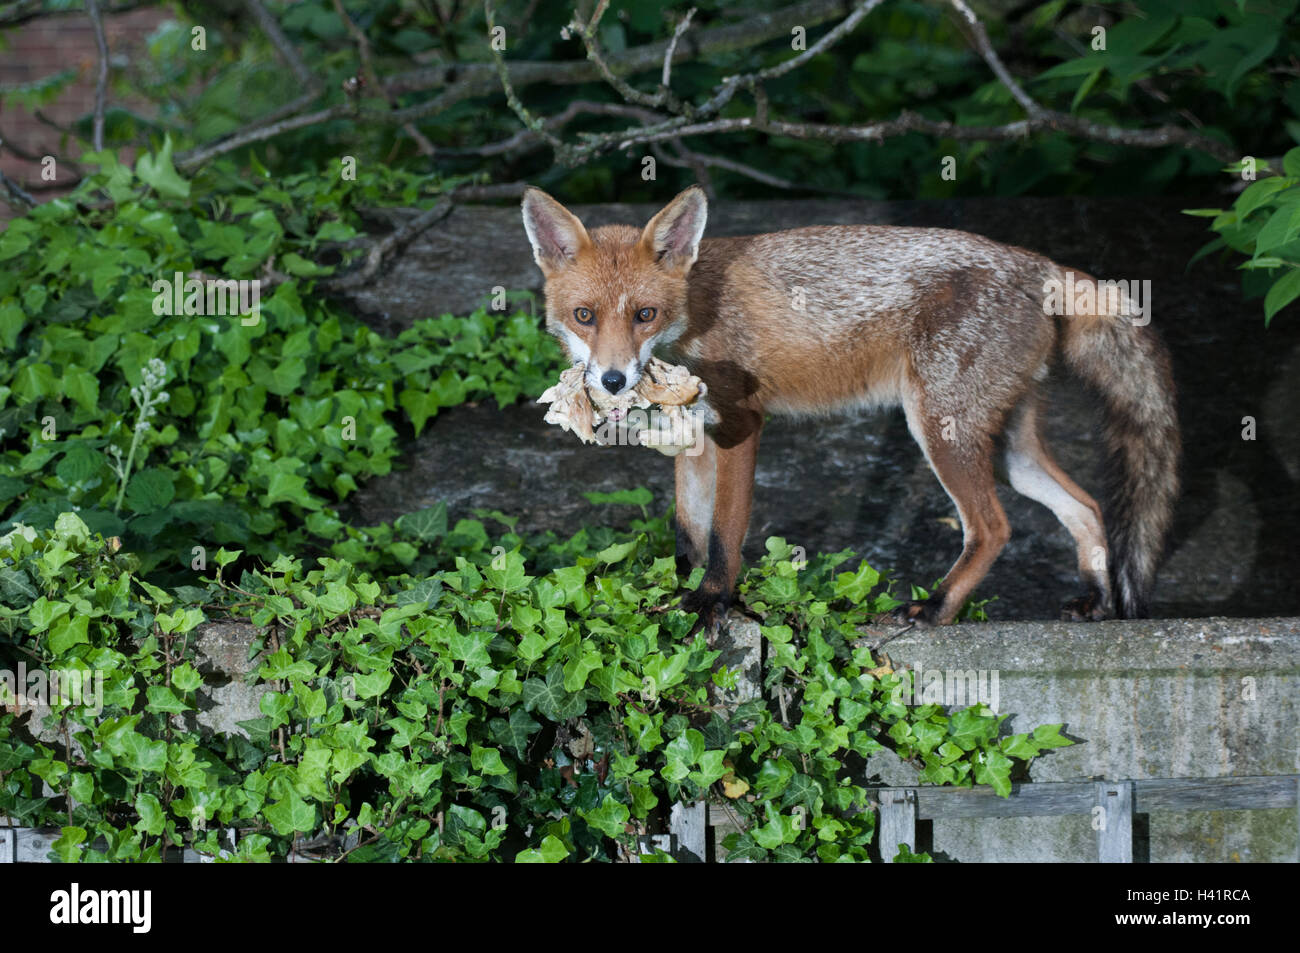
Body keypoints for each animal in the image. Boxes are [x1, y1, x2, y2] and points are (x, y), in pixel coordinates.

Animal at [521, 185, 1180, 629]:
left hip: (940, 428)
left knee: (994, 527)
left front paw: (713, 602)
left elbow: (725, 535)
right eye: (585, 316)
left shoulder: (741, 427)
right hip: (1009, 448)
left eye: (644, 314)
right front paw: (675, 593)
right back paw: (1097, 600)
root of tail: (1035, 261)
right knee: (1087, 506)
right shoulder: (696, 435)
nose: (612, 380)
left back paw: (936, 608)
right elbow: (688, 532)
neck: (695, 315)